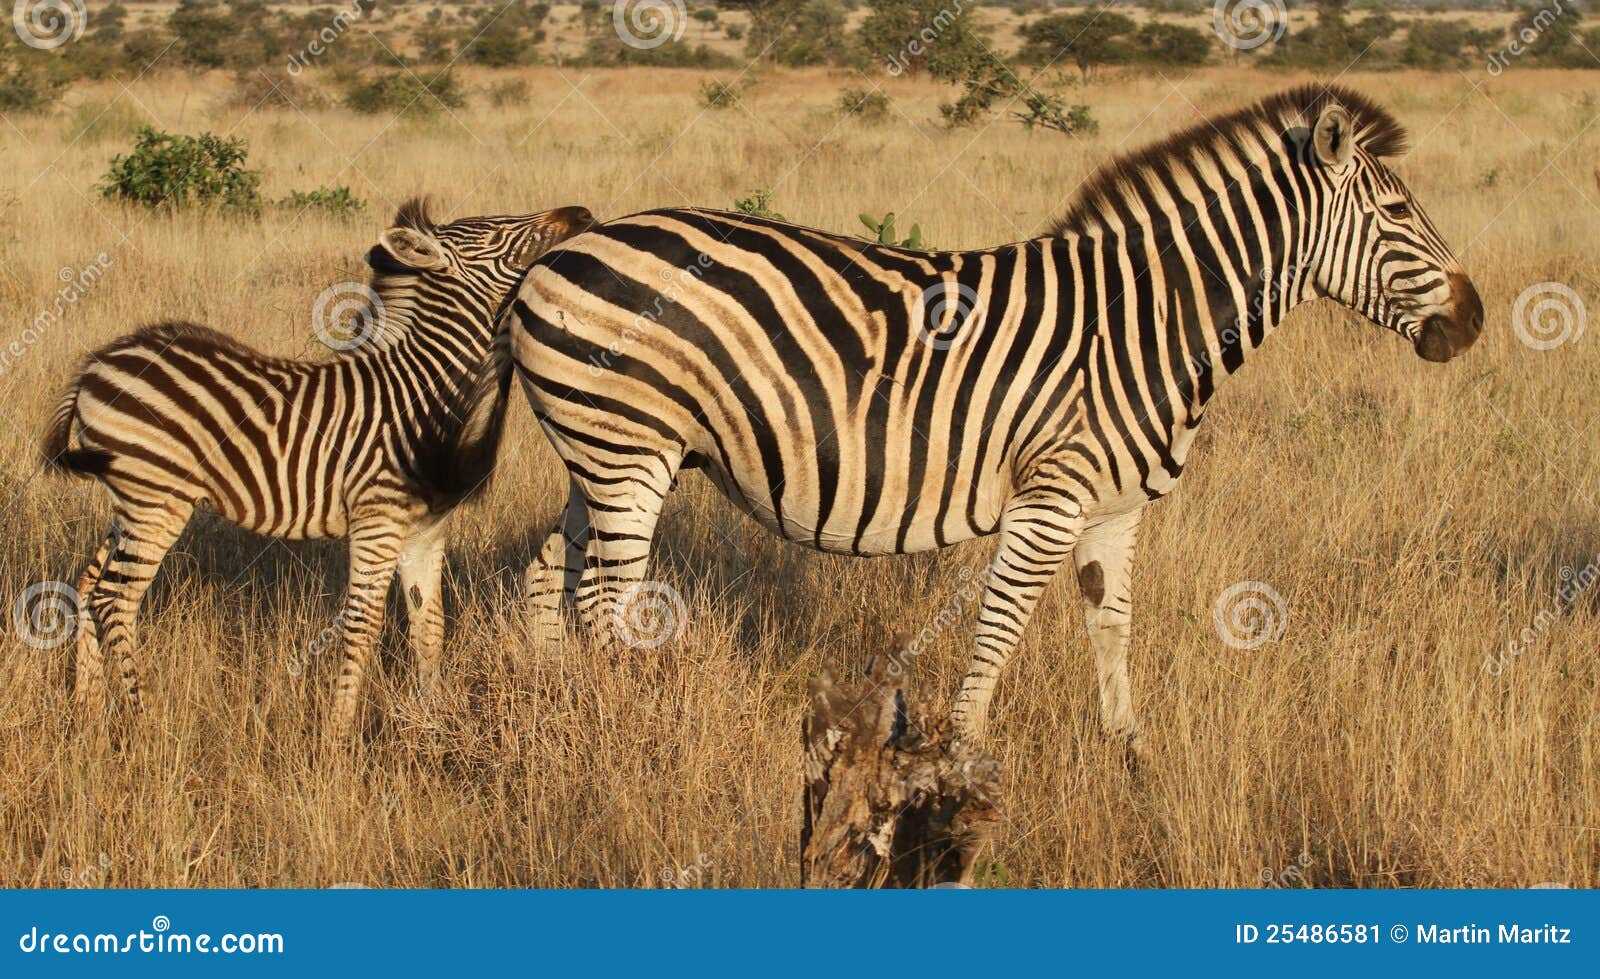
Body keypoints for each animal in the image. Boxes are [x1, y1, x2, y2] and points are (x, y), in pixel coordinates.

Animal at [42, 199, 594, 740]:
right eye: (491, 233)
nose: (582, 214)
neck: (423, 392)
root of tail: (95, 365)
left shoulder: (424, 528)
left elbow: (430, 624)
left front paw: (434, 718)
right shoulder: (377, 520)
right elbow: (363, 625)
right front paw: (339, 734)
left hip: (130, 499)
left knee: (88, 585)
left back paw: (88, 708)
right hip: (157, 499)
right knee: (114, 598)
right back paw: (142, 721)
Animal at [506, 84, 1482, 750]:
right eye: (1398, 212)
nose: (1473, 320)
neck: (1146, 323)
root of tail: (564, 246)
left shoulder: (1116, 508)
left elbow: (1111, 624)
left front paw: (1129, 757)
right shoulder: (1051, 495)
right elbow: (1004, 623)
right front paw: (967, 754)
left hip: (603, 452)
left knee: (551, 571)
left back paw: (561, 706)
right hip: (629, 449)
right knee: (607, 598)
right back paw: (632, 727)